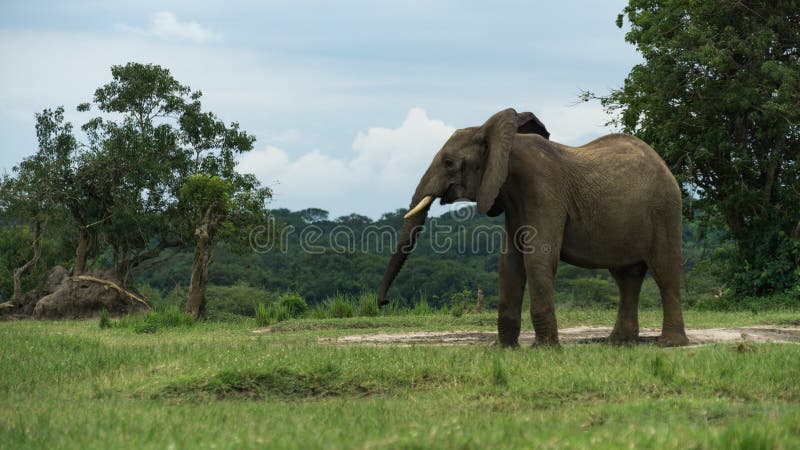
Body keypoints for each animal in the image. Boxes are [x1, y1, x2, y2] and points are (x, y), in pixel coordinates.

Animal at [377, 108, 689, 347]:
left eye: (449, 163)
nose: (383, 303)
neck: (502, 141)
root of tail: (661, 162)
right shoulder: (510, 198)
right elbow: (509, 261)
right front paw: (505, 349)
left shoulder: (543, 188)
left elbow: (537, 257)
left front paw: (546, 349)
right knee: (626, 278)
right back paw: (617, 343)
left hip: (664, 209)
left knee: (664, 270)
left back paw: (669, 344)